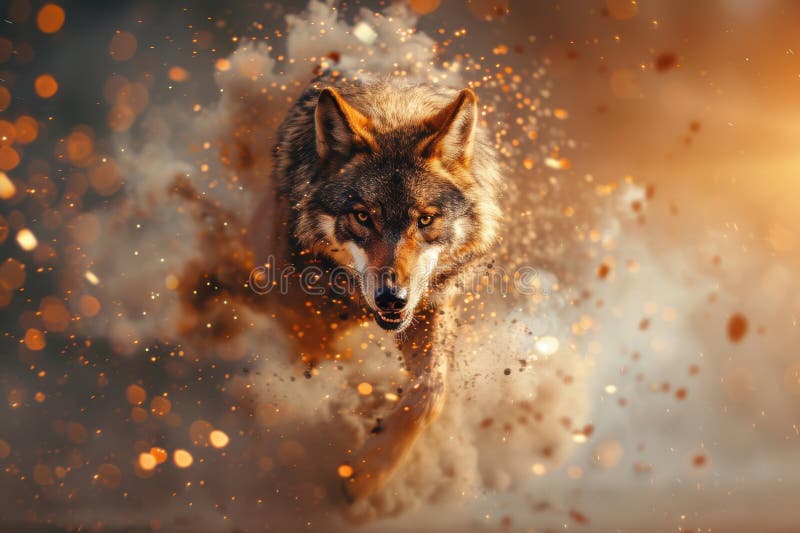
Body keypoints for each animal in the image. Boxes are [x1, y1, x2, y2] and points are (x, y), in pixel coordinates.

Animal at [252, 73, 503, 502]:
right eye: (363, 216)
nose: (391, 298)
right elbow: (309, 374)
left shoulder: (429, 305)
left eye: (425, 219)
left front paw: (370, 472)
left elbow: (430, 393)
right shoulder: (298, 328)